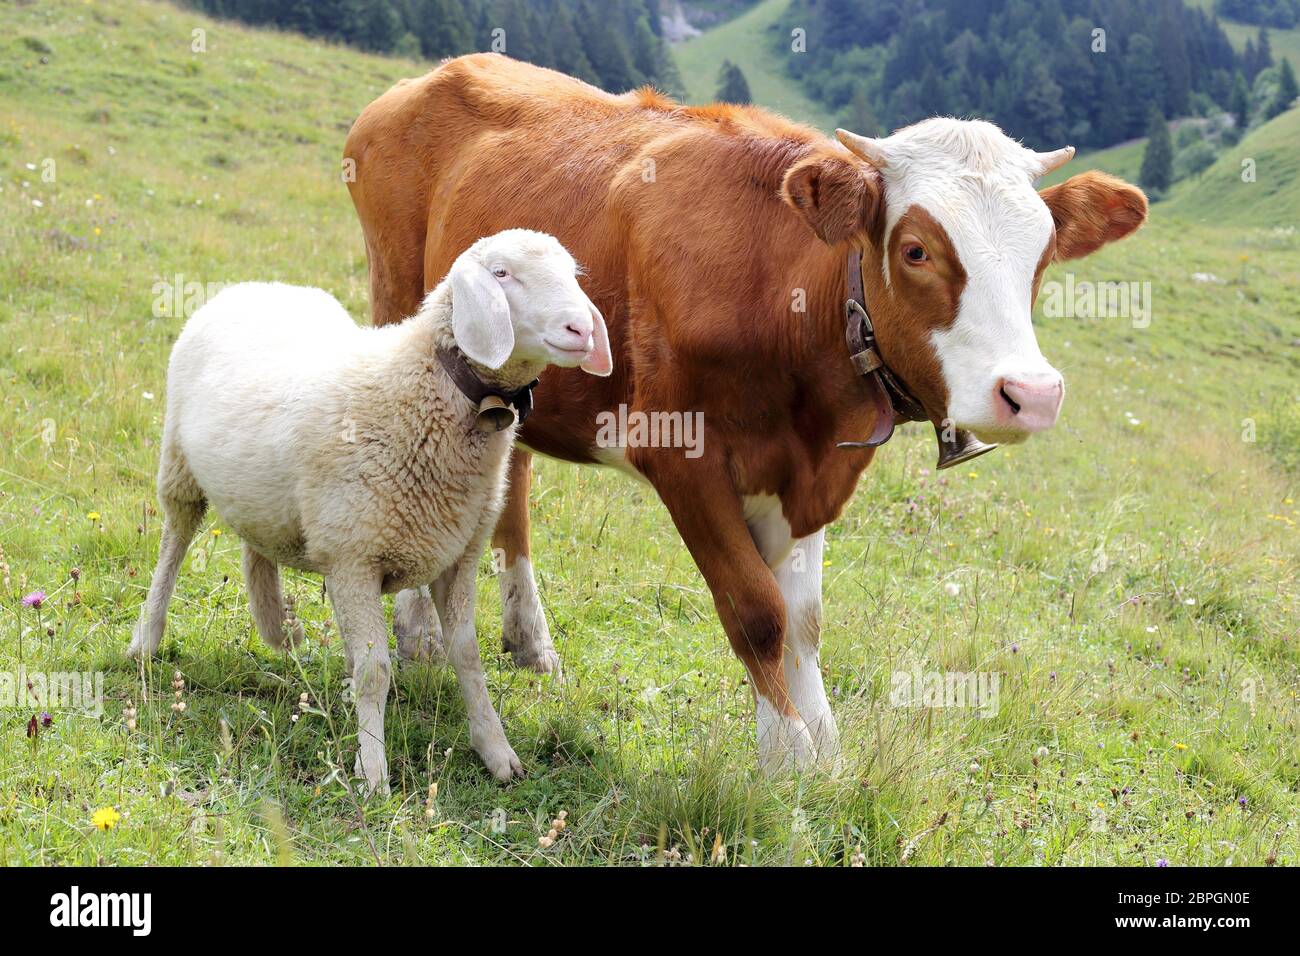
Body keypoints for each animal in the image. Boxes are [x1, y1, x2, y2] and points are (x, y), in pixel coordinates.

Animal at [129, 229, 613, 795]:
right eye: (501, 274)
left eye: (572, 275)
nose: (582, 328)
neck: (419, 392)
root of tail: (255, 285)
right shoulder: (353, 560)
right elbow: (374, 670)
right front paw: (373, 771)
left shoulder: (458, 556)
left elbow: (466, 656)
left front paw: (496, 751)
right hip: (179, 468)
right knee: (174, 545)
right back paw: (146, 639)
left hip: (265, 489)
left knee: (257, 545)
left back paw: (277, 627)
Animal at [344, 53, 1148, 772]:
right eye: (916, 250)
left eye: (1042, 257)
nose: (1031, 394)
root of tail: (433, 74)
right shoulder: (680, 457)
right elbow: (757, 611)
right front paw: (786, 756)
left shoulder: (814, 473)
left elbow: (806, 620)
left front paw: (825, 746)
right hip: (400, 300)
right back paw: (418, 629)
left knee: (514, 479)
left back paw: (529, 639)